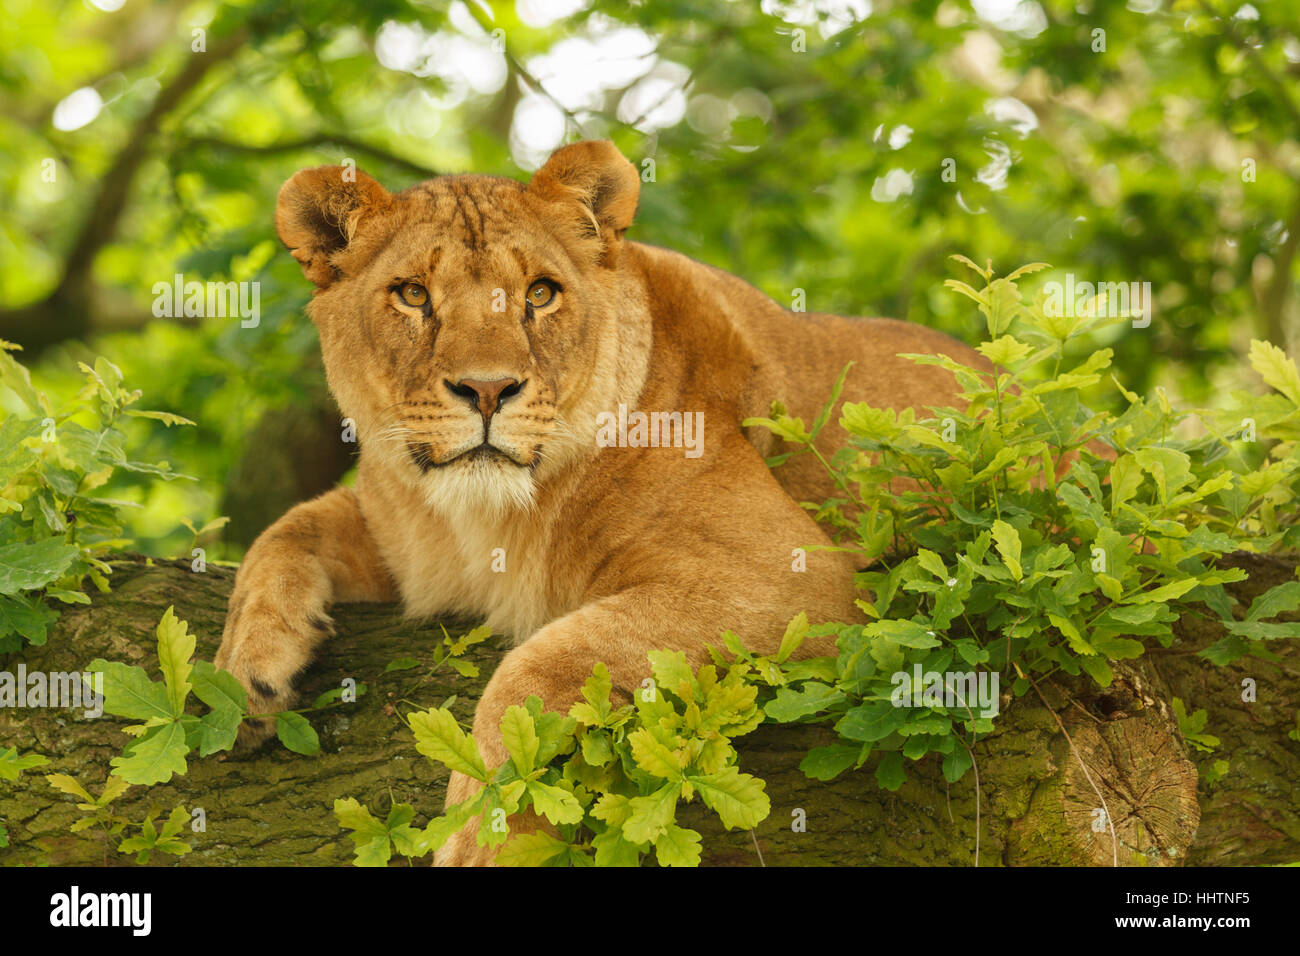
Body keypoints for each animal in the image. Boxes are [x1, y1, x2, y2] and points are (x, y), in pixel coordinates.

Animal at [213, 139, 988, 865]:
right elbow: (286, 529)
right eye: (411, 294)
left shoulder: (792, 577)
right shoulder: (402, 534)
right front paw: (242, 671)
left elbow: (537, 667)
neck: (479, 519)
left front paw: (480, 837)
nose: (488, 390)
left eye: (540, 293)